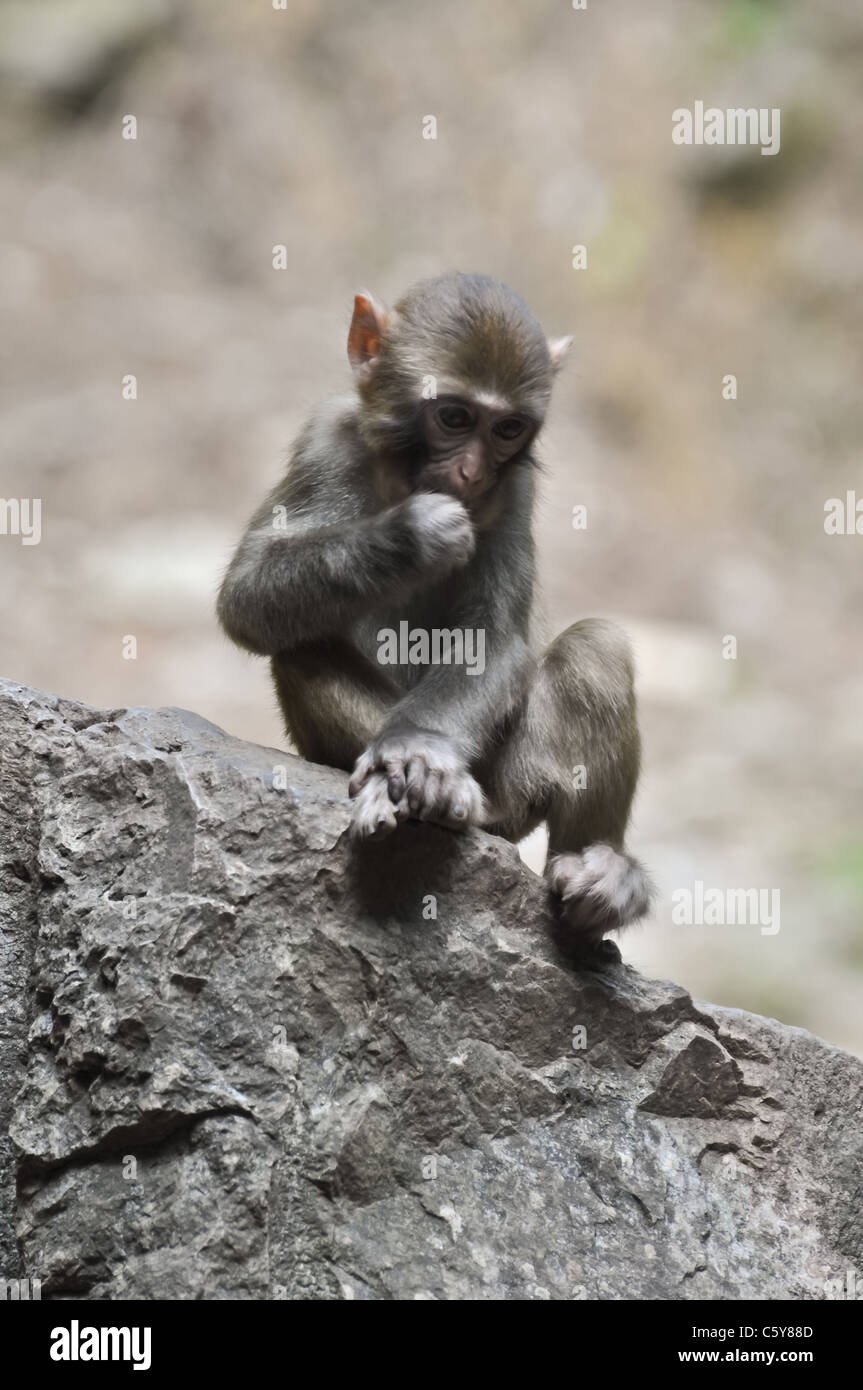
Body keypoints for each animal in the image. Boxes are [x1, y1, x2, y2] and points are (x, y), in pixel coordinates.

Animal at [217, 272, 652, 947]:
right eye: (453, 416)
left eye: (507, 429)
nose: (470, 473)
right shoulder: (326, 440)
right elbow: (246, 594)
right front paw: (413, 536)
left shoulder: (513, 491)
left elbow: (493, 641)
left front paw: (420, 750)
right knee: (300, 642)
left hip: (512, 792)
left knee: (595, 650)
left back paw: (596, 871)